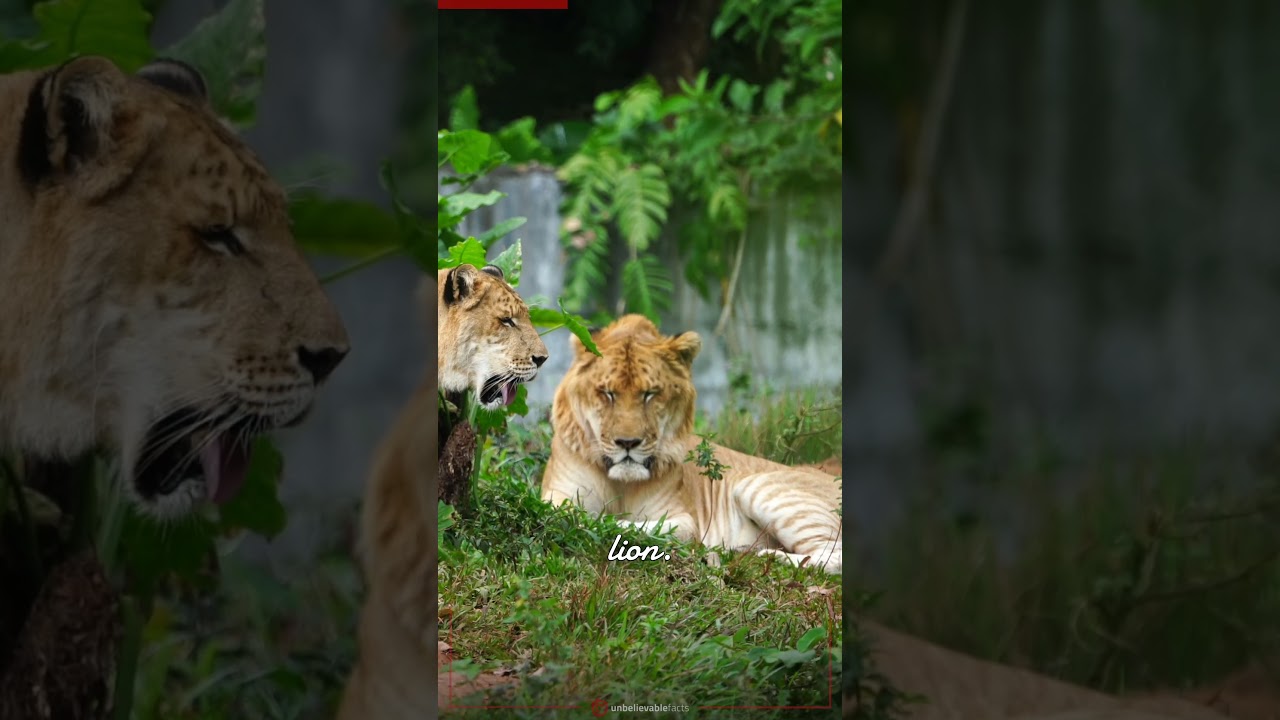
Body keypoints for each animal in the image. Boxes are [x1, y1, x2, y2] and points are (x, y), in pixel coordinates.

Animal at [540, 313, 843, 574]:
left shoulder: (683, 519)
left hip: (759, 488)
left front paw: (594, 520)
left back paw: (770, 557)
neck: (620, 482)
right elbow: (565, 510)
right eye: (607, 393)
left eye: (650, 394)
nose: (628, 442)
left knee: (835, 555)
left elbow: (629, 524)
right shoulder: (557, 493)